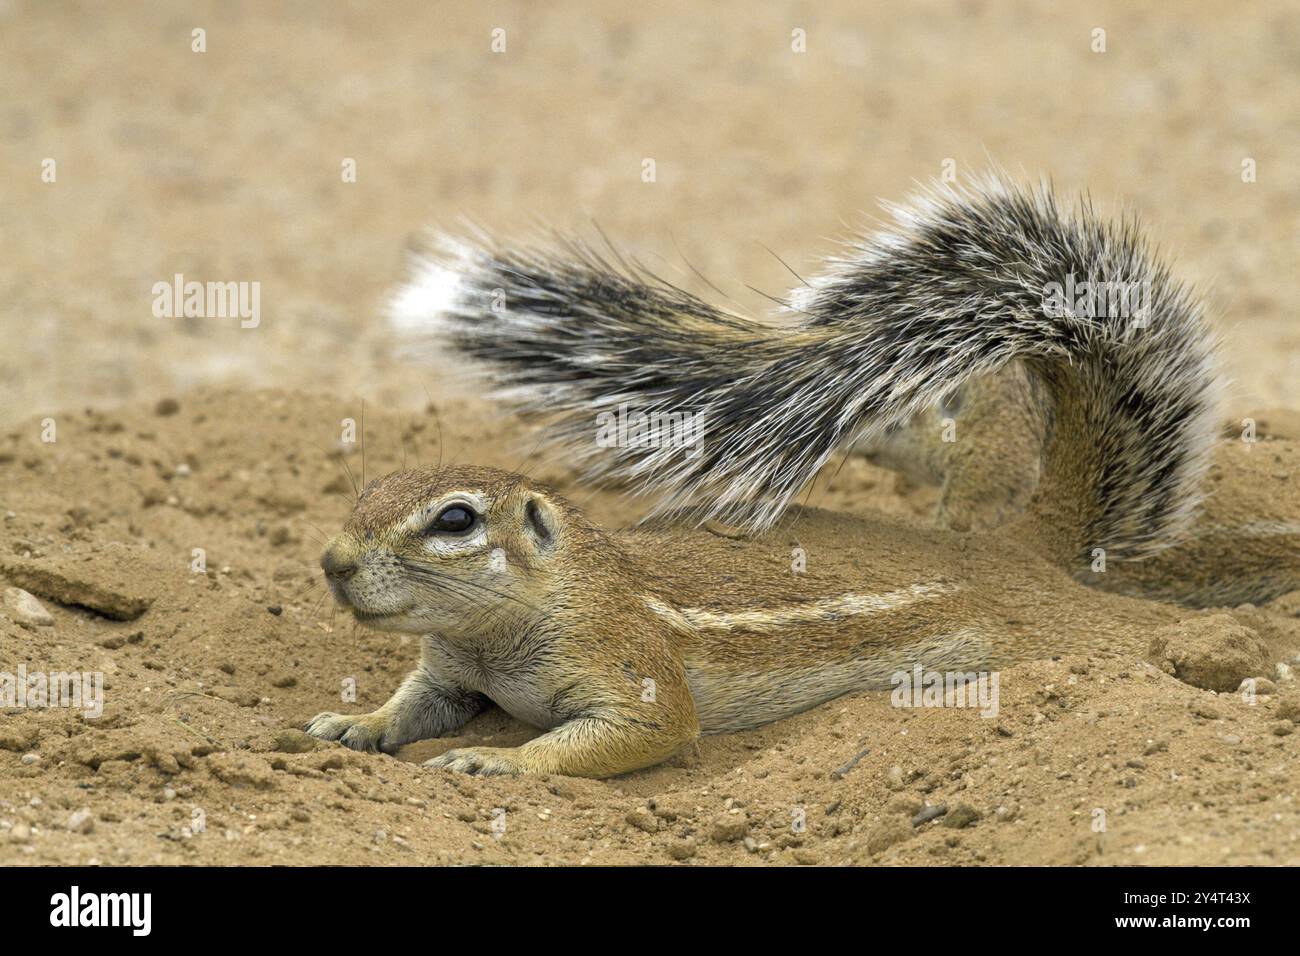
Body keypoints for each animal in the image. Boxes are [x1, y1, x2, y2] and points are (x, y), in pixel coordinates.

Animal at [303, 177, 1296, 777]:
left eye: (457, 520)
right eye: (363, 492)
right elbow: (414, 705)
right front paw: (355, 724)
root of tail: (1014, 549)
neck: (502, 630)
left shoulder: (632, 669)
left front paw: (501, 760)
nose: (333, 564)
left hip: (1055, 640)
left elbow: (636, 733)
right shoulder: (445, 670)